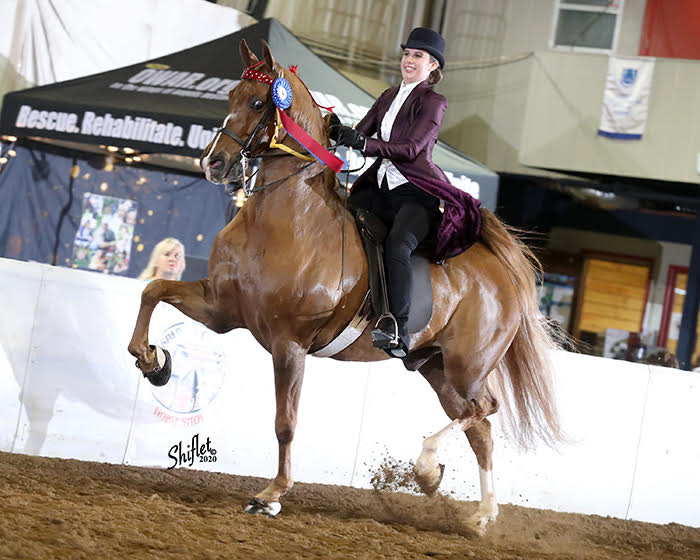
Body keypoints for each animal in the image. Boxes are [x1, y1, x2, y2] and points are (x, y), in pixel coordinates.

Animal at [128, 39, 563, 535]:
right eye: (231, 97)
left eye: (258, 103)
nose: (213, 164)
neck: (283, 219)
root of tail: (499, 271)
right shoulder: (221, 310)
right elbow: (153, 291)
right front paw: (154, 362)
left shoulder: (289, 343)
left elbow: (285, 422)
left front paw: (271, 495)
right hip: (434, 367)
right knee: (480, 430)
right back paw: (479, 513)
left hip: (466, 365)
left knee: (483, 411)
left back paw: (428, 469)